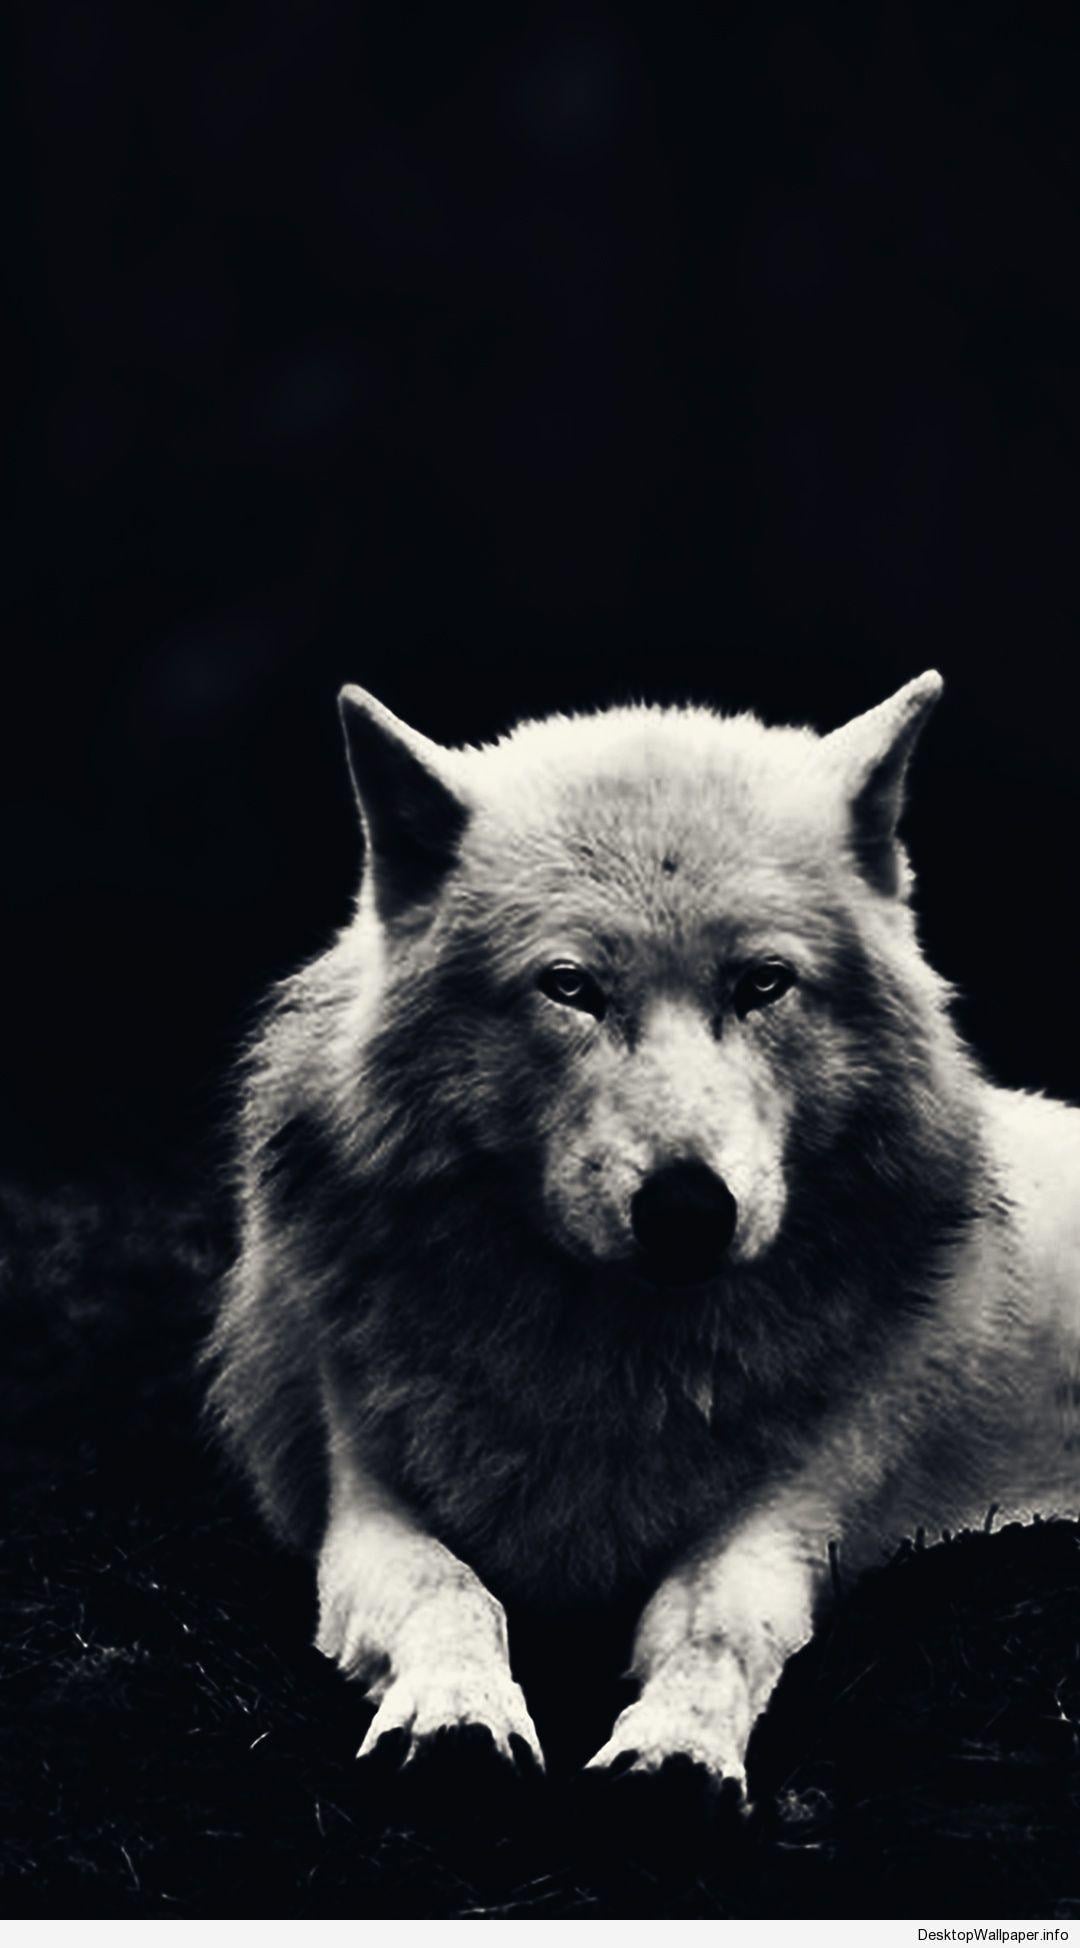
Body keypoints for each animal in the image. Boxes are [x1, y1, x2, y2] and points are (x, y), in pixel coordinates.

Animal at [207, 672, 1080, 1790]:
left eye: (763, 983)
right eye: (571, 986)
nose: (687, 1210)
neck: (616, 1367)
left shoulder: (798, 1508)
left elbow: (718, 1622)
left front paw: (675, 1747)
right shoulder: (362, 1499)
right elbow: (451, 1591)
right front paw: (456, 1714)